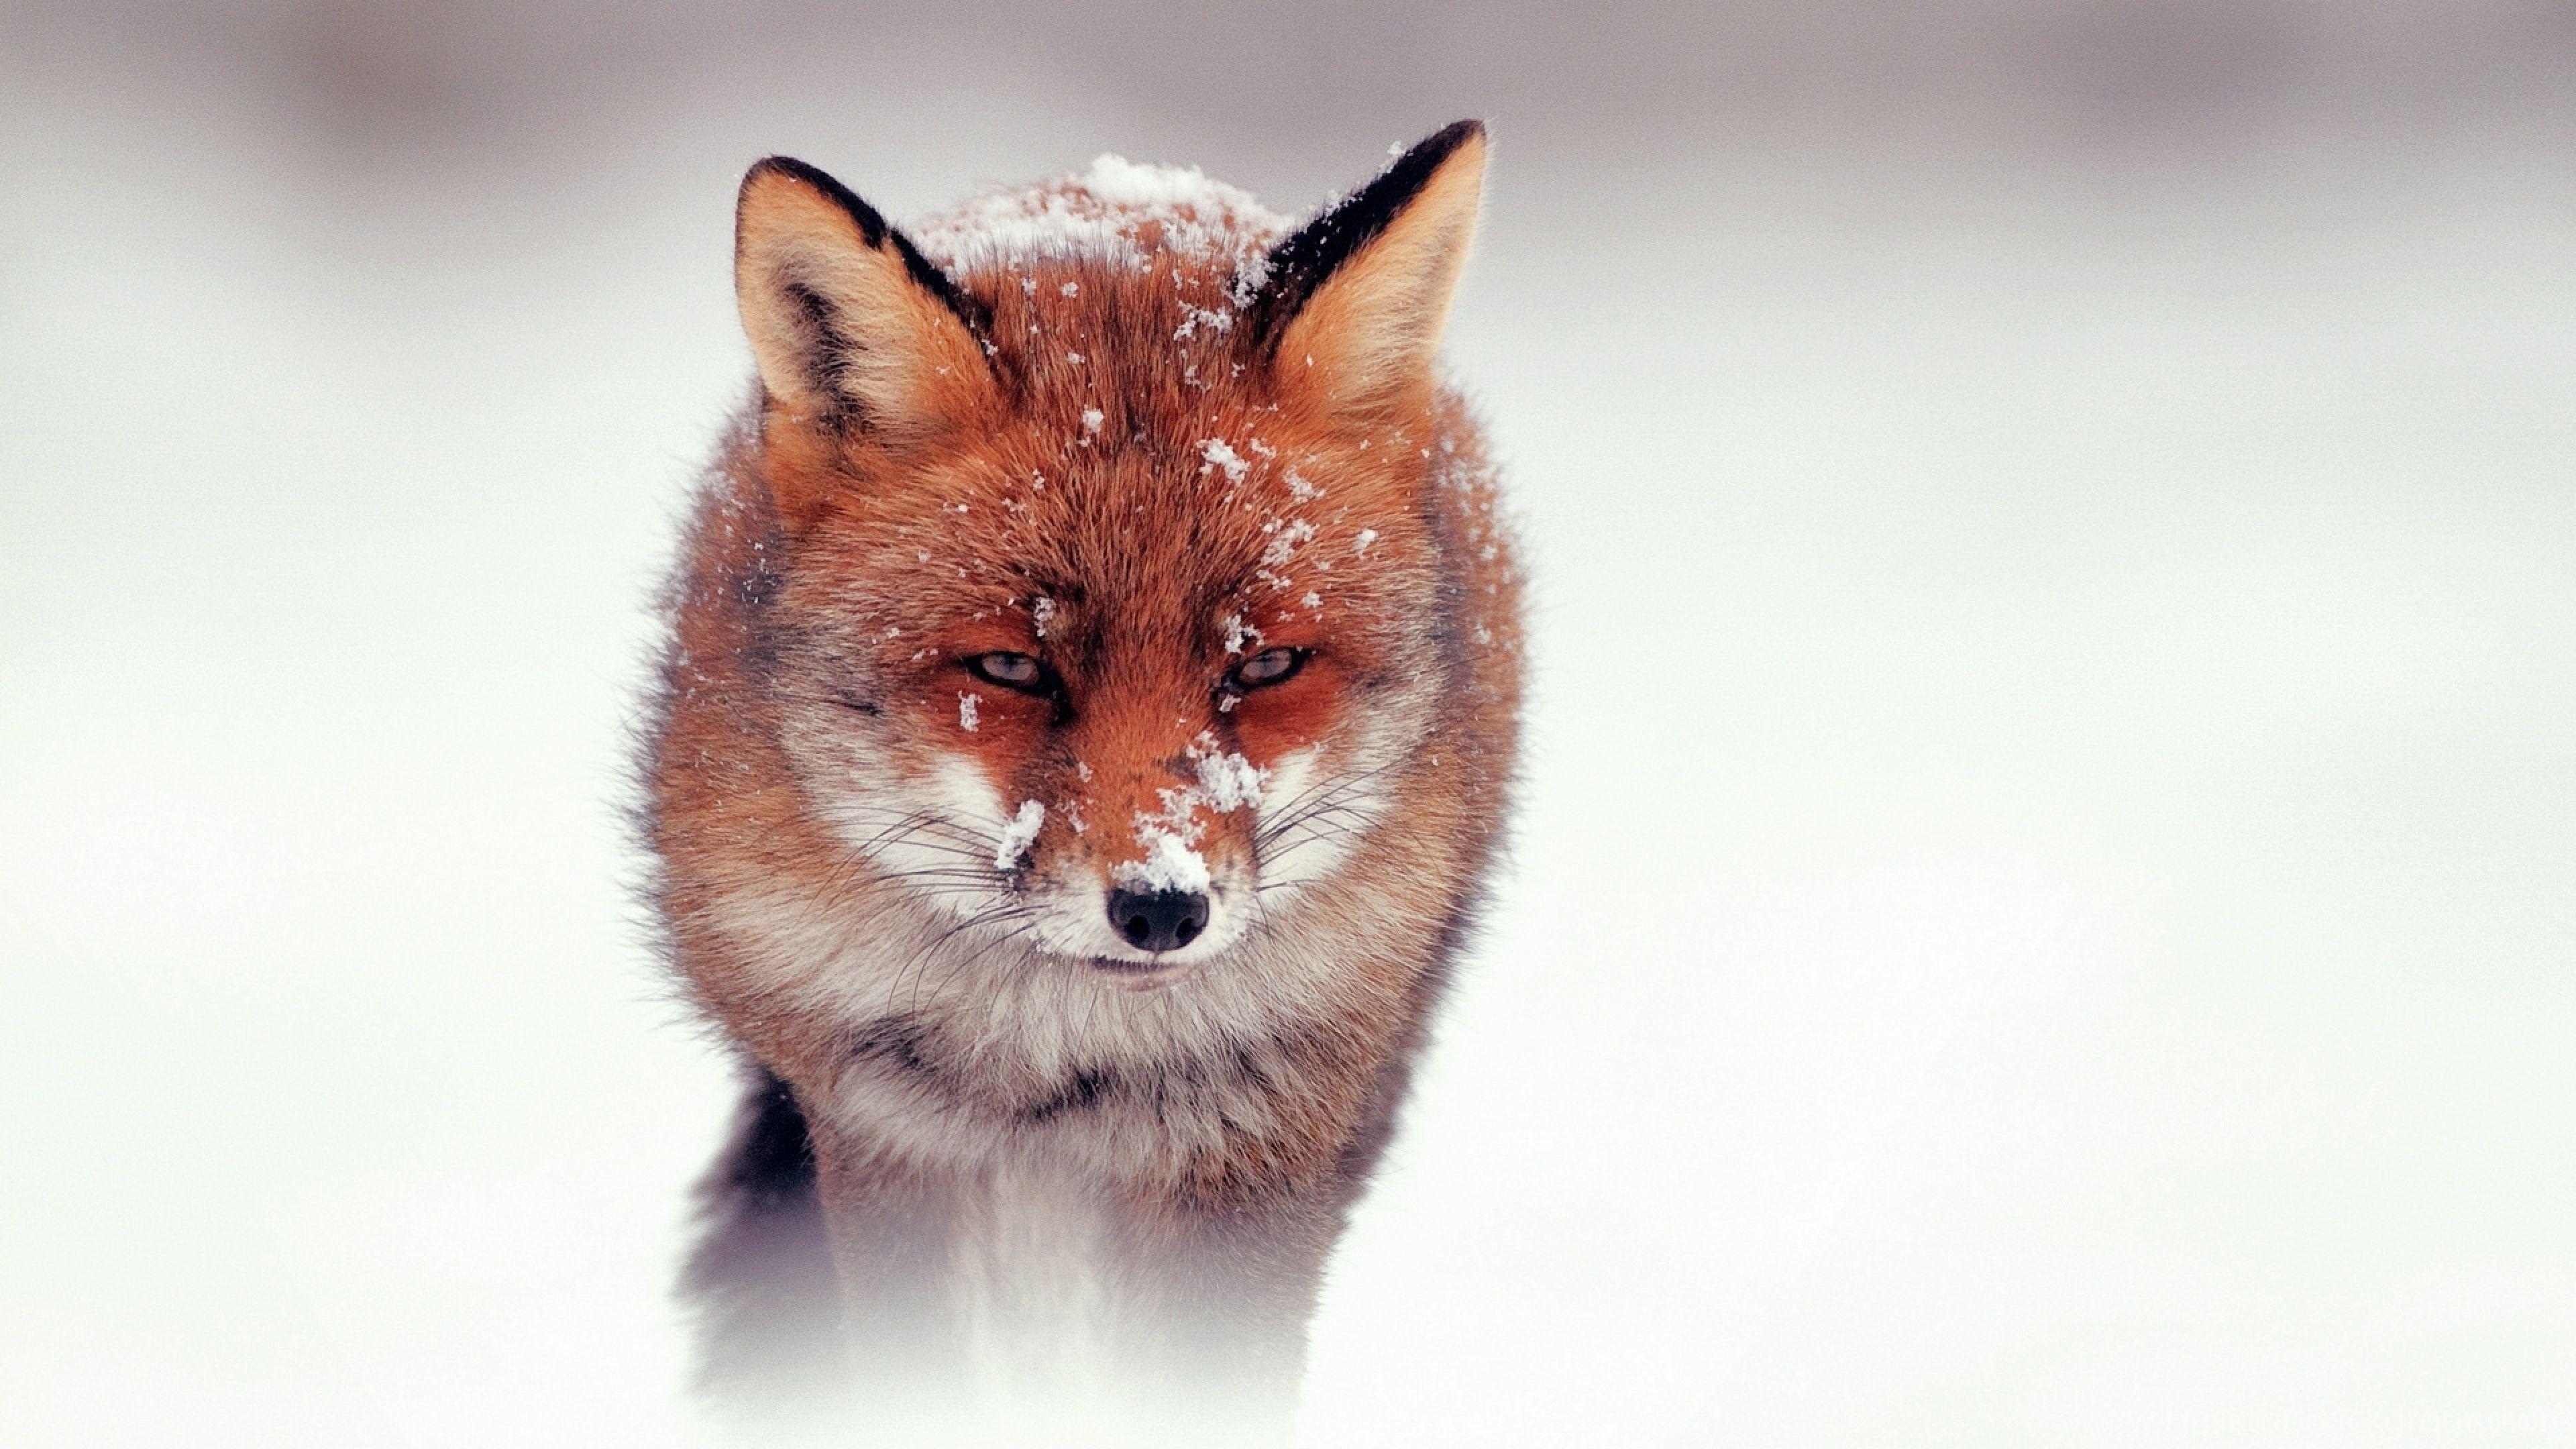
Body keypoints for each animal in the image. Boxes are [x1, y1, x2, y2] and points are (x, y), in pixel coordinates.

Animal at [642, 120, 1522, 1439]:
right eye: (1012, 666)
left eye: (1265, 665)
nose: (1161, 908)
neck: (1059, 1055)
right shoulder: (887, 1130)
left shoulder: (1255, 1143)